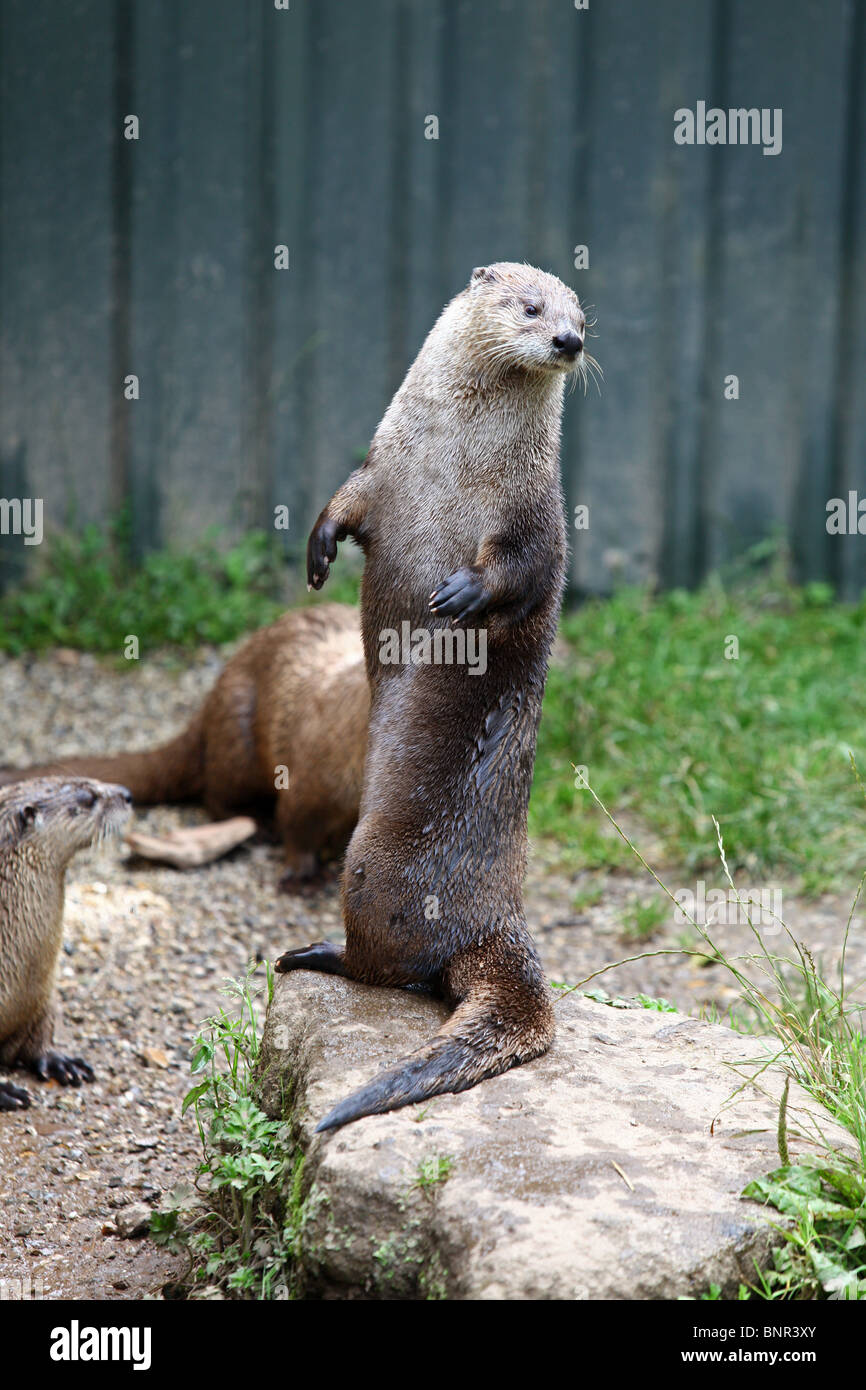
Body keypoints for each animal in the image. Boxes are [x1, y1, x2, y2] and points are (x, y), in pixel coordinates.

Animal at [0, 603, 369, 884]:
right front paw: (302, 876)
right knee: (216, 794)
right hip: (237, 742)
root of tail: (210, 702)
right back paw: (260, 825)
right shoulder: (309, 777)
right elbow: (296, 823)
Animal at [0, 776, 131, 1111]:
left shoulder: (42, 995)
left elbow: (42, 1033)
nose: (128, 794)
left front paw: (60, 1061)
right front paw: (4, 1092)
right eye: (87, 797)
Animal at [275, 262, 591, 1131]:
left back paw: (313, 952)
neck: (455, 462)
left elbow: (524, 568)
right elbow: (344, 500)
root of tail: (498, 922)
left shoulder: (534, 513)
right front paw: (318, 550)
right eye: (531, 306)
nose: (570, 340)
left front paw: (460, 595)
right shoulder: (383, 469)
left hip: (371, 868)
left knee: (389, 968)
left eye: (582, 314)